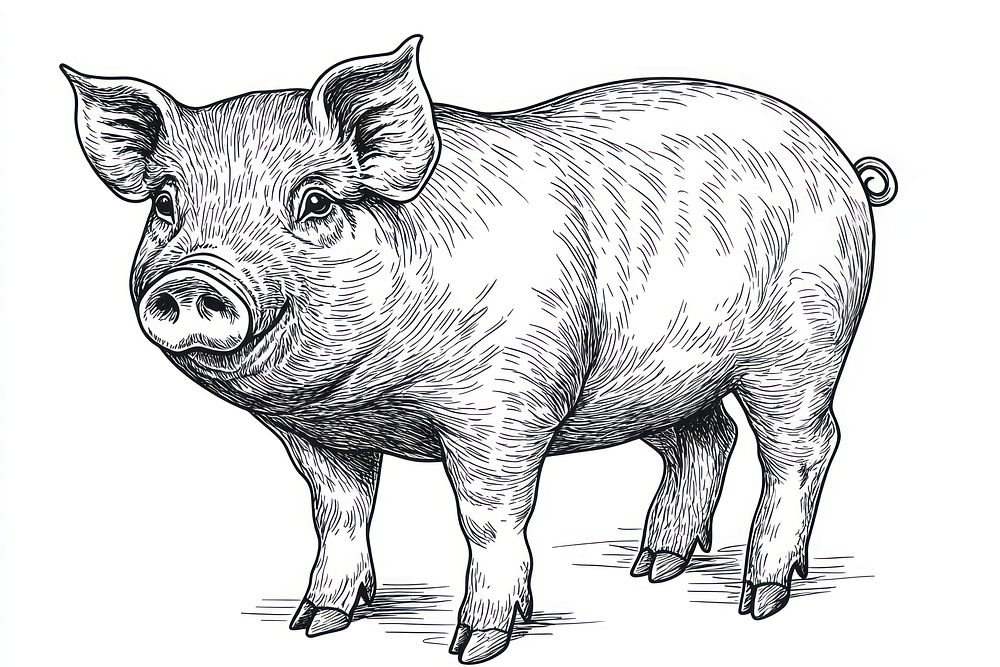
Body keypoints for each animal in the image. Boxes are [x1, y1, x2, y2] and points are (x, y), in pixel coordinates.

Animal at [63, 35, 896, 664]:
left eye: (316, 202)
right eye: (165, 204)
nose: (191, 281)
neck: (364, 393)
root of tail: (844, 167)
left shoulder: (502, 405)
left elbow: (489, 517)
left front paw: (475, 644)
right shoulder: (319, 435)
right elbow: (338, 512)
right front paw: (315, 623)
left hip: (804, 345)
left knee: (803, 447)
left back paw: (760, 598)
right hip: (662, 380)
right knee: (707, 437)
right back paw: (655, 566)